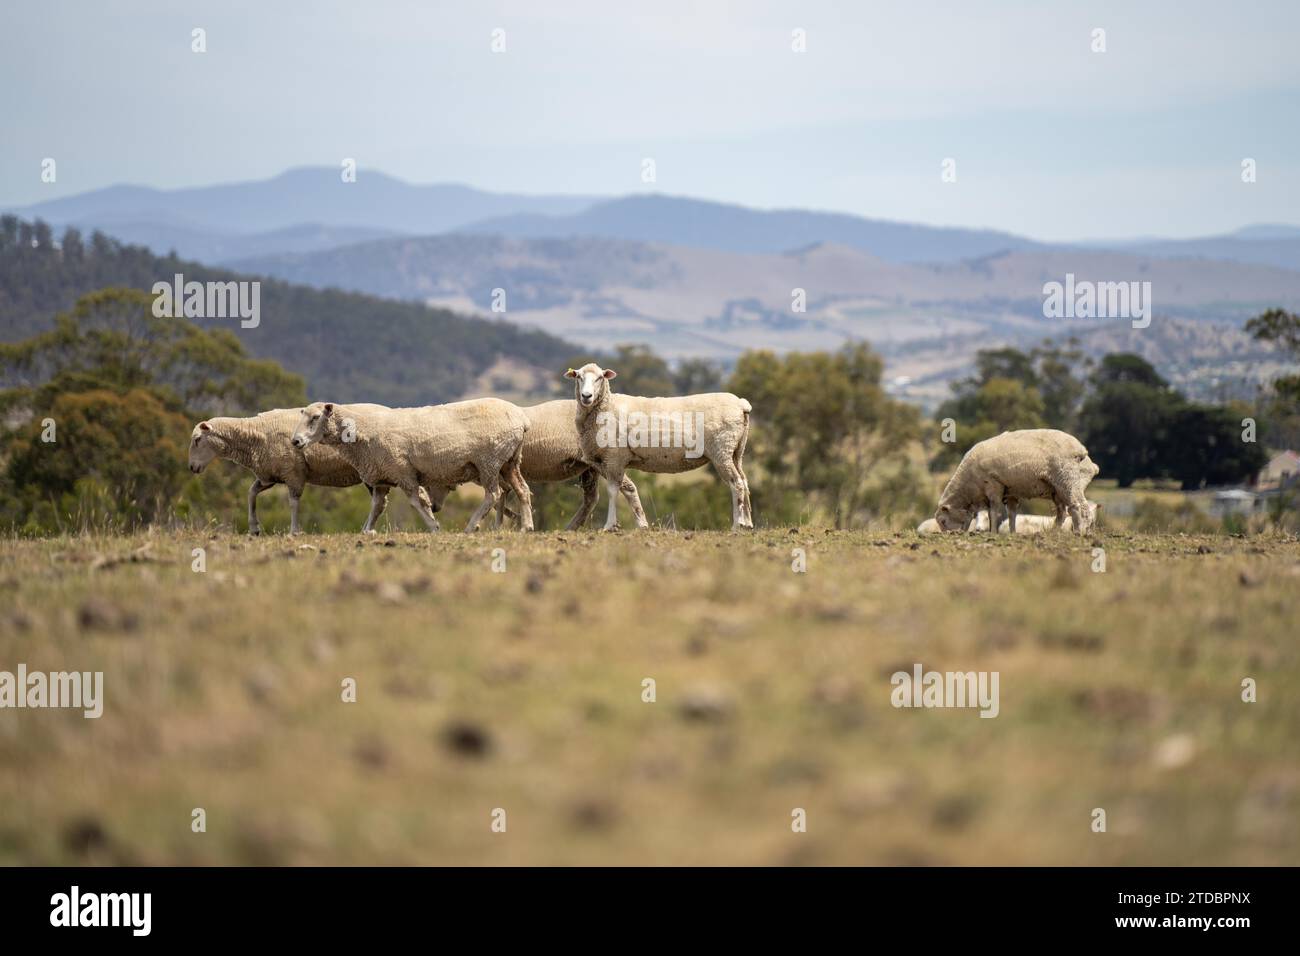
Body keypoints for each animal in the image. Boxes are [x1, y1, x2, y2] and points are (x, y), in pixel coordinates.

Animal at [188, 408, 392, 534]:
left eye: (197, 439)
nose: (191, 467)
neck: (256, 434)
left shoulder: (293, 472)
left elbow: (293, 503)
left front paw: (294, 531)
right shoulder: (270, 475)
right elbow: (251, 493)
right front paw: (254, 528)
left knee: (378, 502)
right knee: (379, 502)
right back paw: (366, 528)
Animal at [290, 399, 532, 532]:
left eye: (315, 417)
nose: (295, 441)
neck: (362, 433)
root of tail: (522, 419)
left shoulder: (403, 471)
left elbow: (415, 502)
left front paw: (434, 527)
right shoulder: (382, 476)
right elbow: (376, 507)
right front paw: (366, 530)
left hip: (489, 461)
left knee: (493, 494)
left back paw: (471, 527)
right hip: (509, 461)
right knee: (522, 489)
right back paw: (527, 526)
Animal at [564, 363, 753, 530]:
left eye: (600, 378)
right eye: (579, 377)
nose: (586, 396)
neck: (607, 406)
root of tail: (741, 404)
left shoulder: (614, 457)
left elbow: (612, 491)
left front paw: (609, 526)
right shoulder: (604, 461)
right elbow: (622, 489)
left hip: (722, 450)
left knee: (736, 483)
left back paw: (737, 525)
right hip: (737, 451)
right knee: (744, 481)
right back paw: (748, 523)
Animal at [934, 429, 1100, 536]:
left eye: (943, 521)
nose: (949, 534)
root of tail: (1082, 451)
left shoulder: (993, 484)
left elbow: (994, 512)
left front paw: (992, 533)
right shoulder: (1011, 491)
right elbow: (1011, 514)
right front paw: (1012, 533)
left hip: (1067, 479)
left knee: (1078, 506)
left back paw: (1080, 532)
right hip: (1058, 489)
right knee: (1062, 513)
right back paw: (1055, 532)